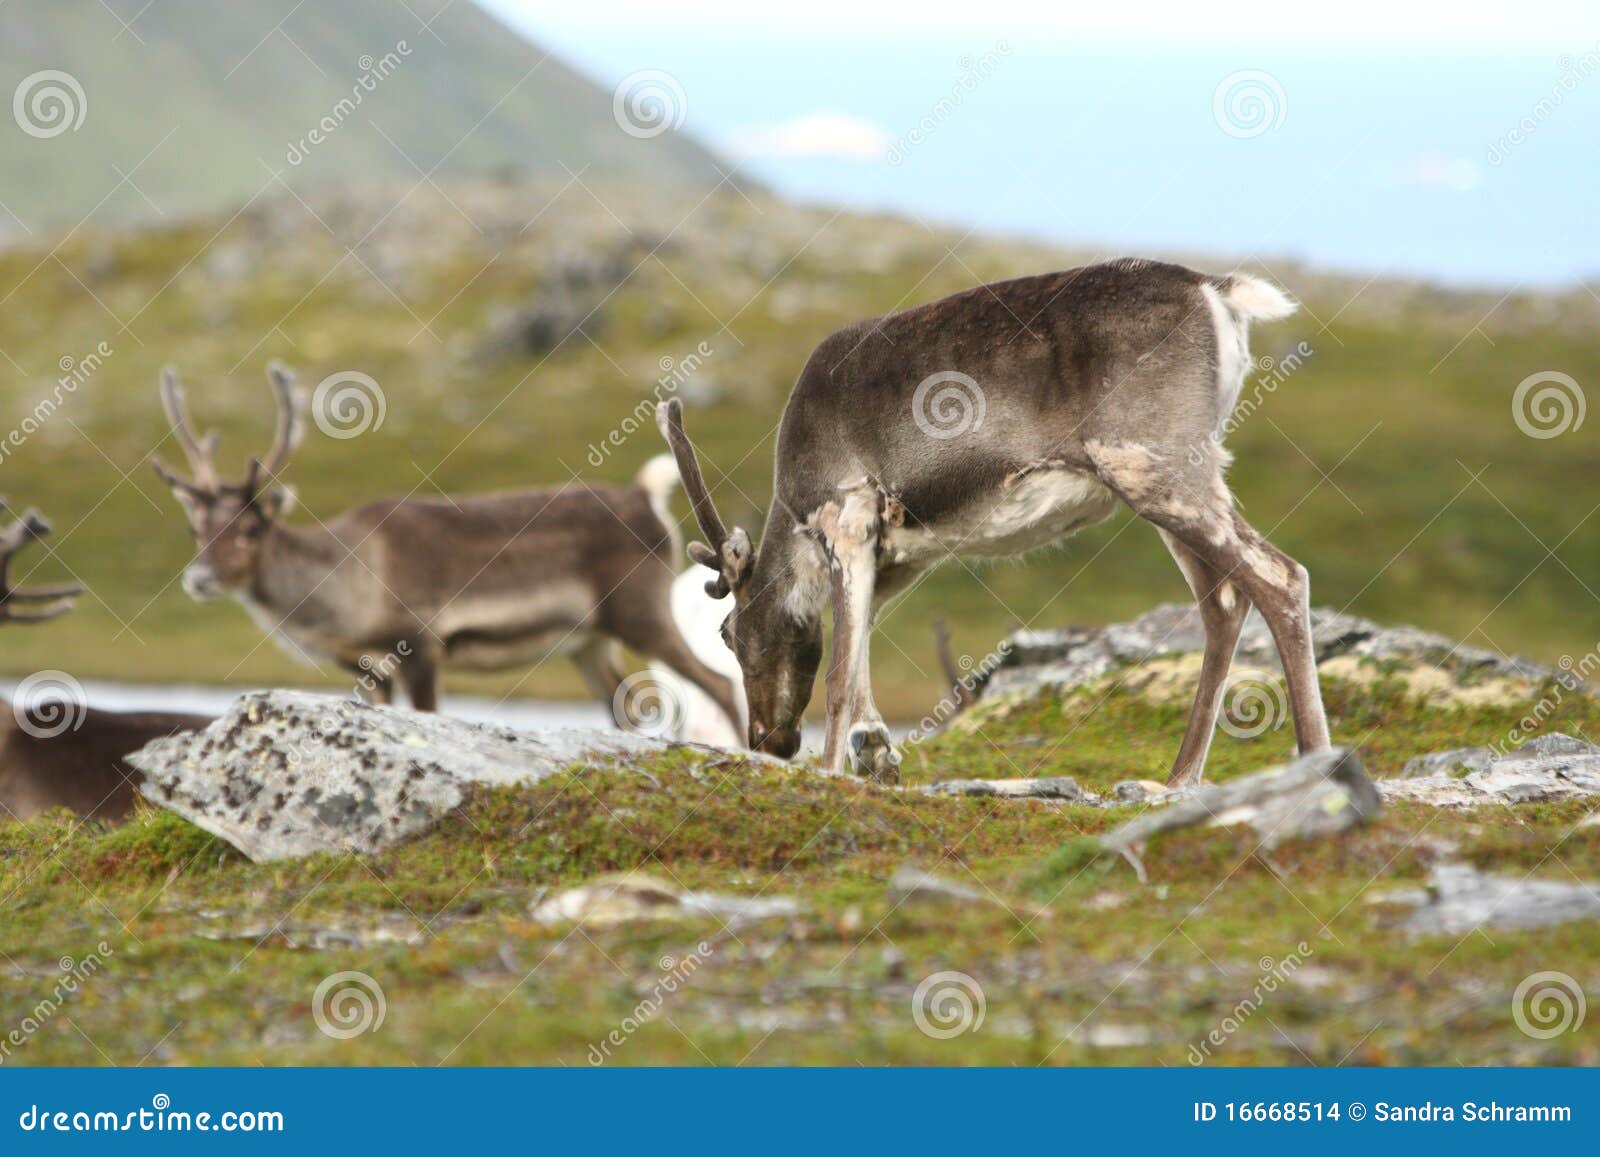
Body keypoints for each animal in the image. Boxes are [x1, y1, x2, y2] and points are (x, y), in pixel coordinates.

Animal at [151, 363, 742, 734]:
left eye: (250, 530)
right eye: (195, 530)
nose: (199, 578)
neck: (340, 593)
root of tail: (646, 494)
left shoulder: (420, 644)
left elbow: (430, 715)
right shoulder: (367, 669)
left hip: (641, 612)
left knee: (719, 684)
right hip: (587, 641)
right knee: (628, 708)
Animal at [657, 258, 1331, 784]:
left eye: (726, 632)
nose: (768, 741)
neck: (794, 518)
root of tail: (1216, 290)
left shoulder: (846, 517)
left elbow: (840, 675)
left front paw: (830, 773)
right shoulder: (896, 554)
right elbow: (864, 637)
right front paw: (876, 752)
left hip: (1152, 466)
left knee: (1280, 575)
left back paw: (1312, 755)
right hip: (1178, 475)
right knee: (1223, 602)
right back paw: (1180, 777)